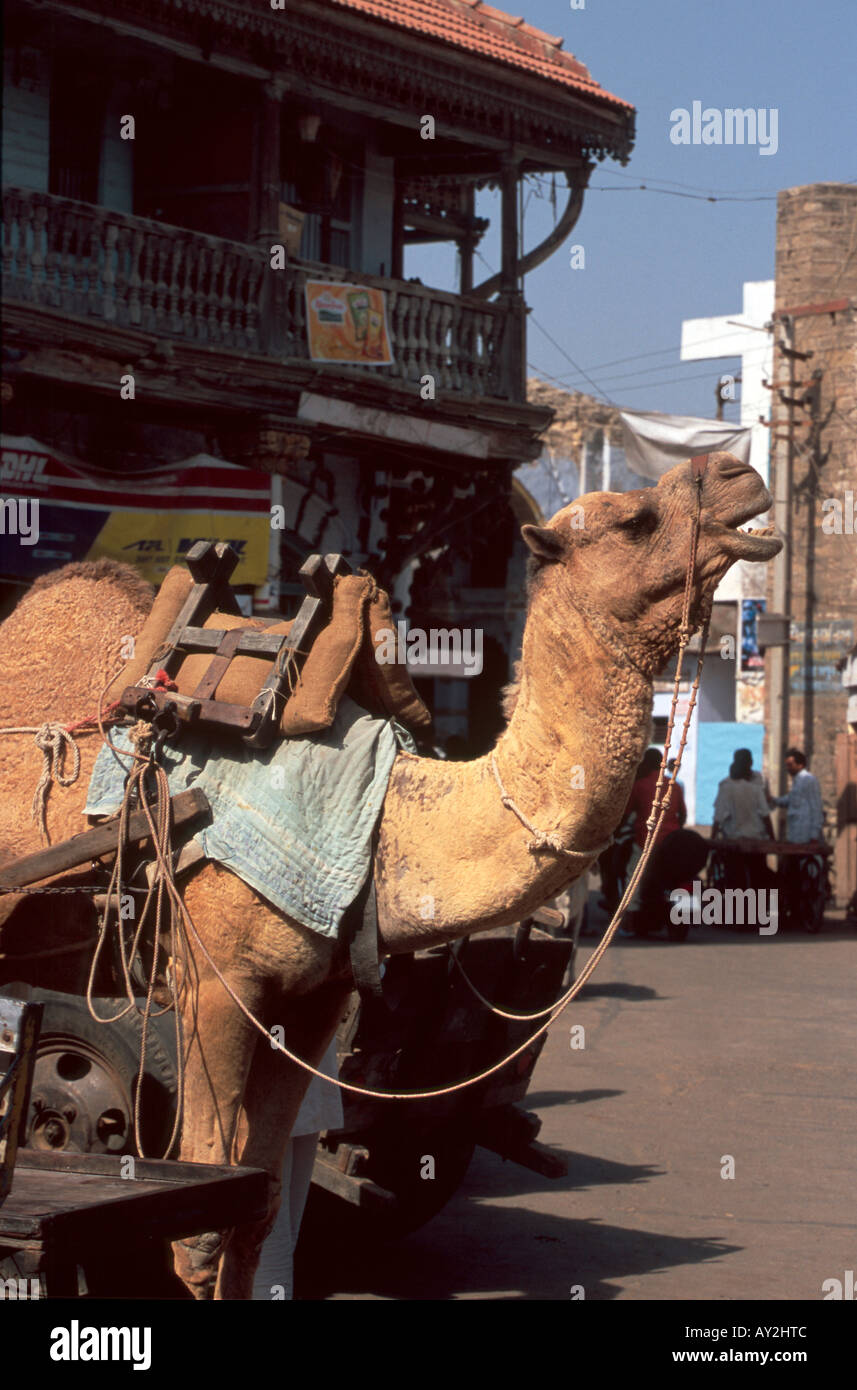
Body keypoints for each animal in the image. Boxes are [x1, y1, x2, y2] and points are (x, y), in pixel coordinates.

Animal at [0, 452, 781, 1299]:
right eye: (634, 520)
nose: (738, 472)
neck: (384, 815)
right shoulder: (214, 983)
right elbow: (203, 1221)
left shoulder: (313, 998)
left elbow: (258, 1202)